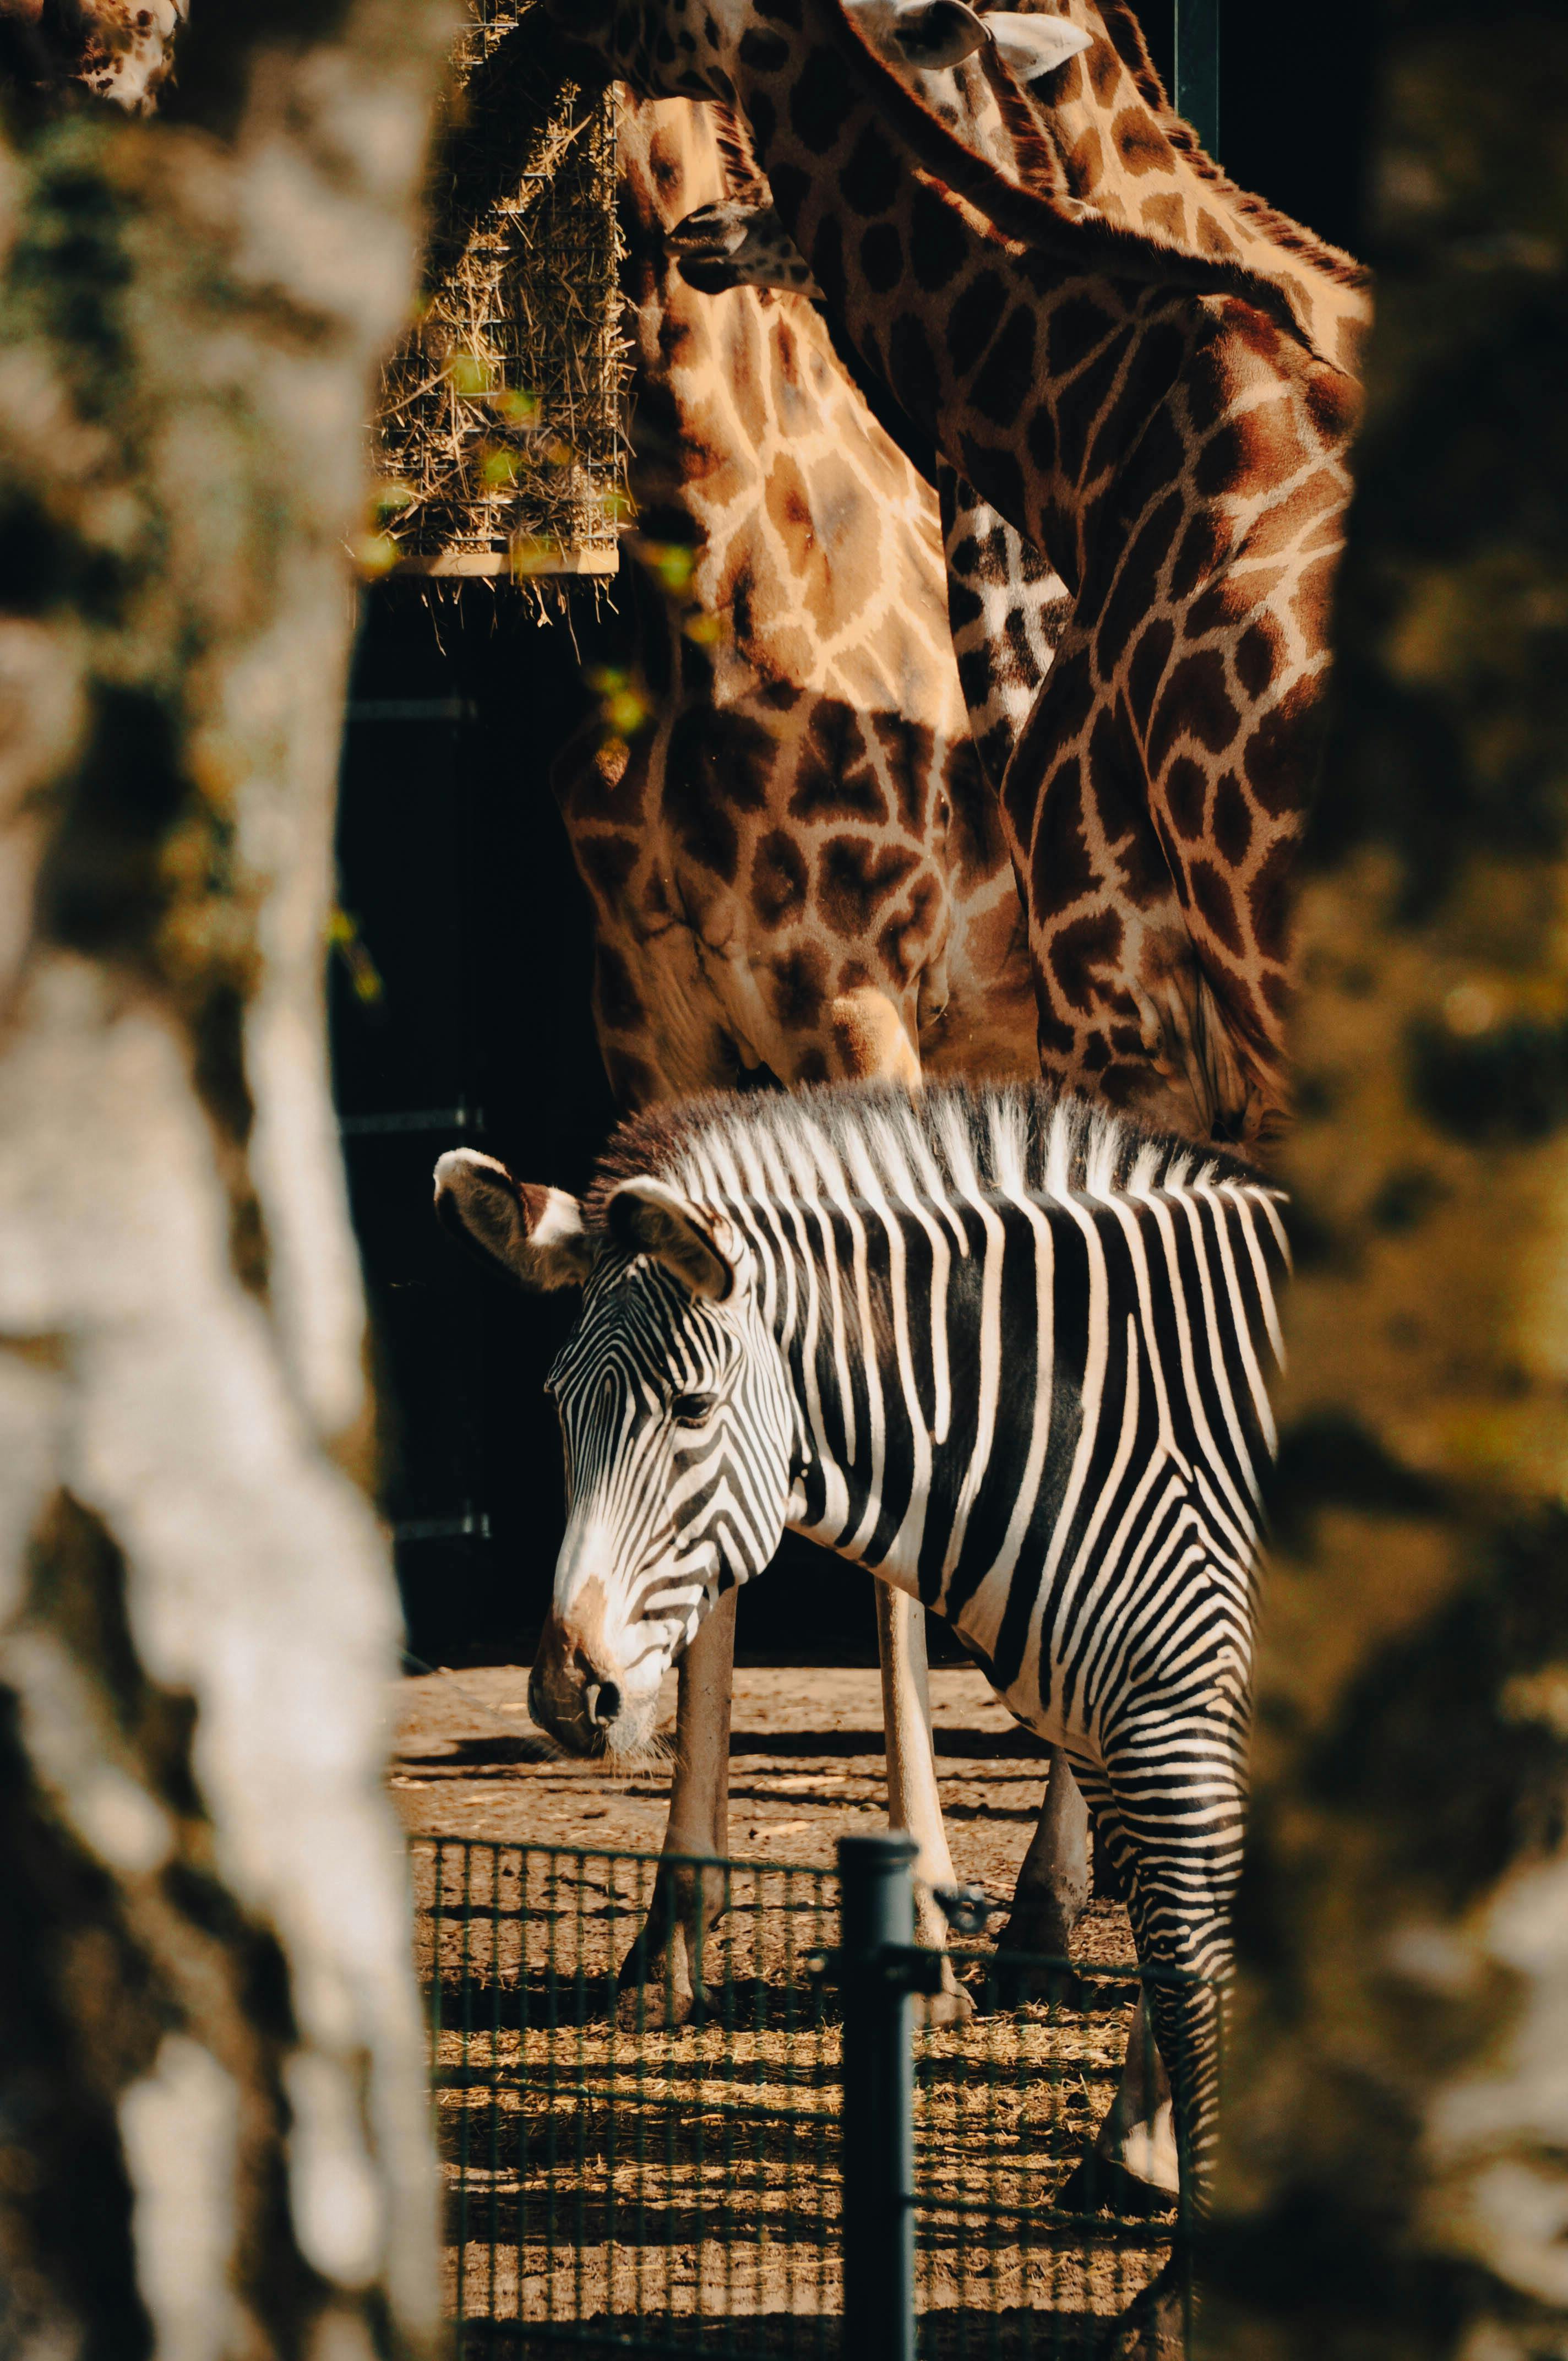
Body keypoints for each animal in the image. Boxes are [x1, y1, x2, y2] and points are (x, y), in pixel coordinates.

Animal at [433, 1077, 1287, 2205]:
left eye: (692, 1406)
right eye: (555, 1403)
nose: (568, 1696)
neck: (1107, 1416)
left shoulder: (1182, 1723)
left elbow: (1196, 1987)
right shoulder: (1120, 1735)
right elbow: (1175, 1966)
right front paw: (1138, 2152)